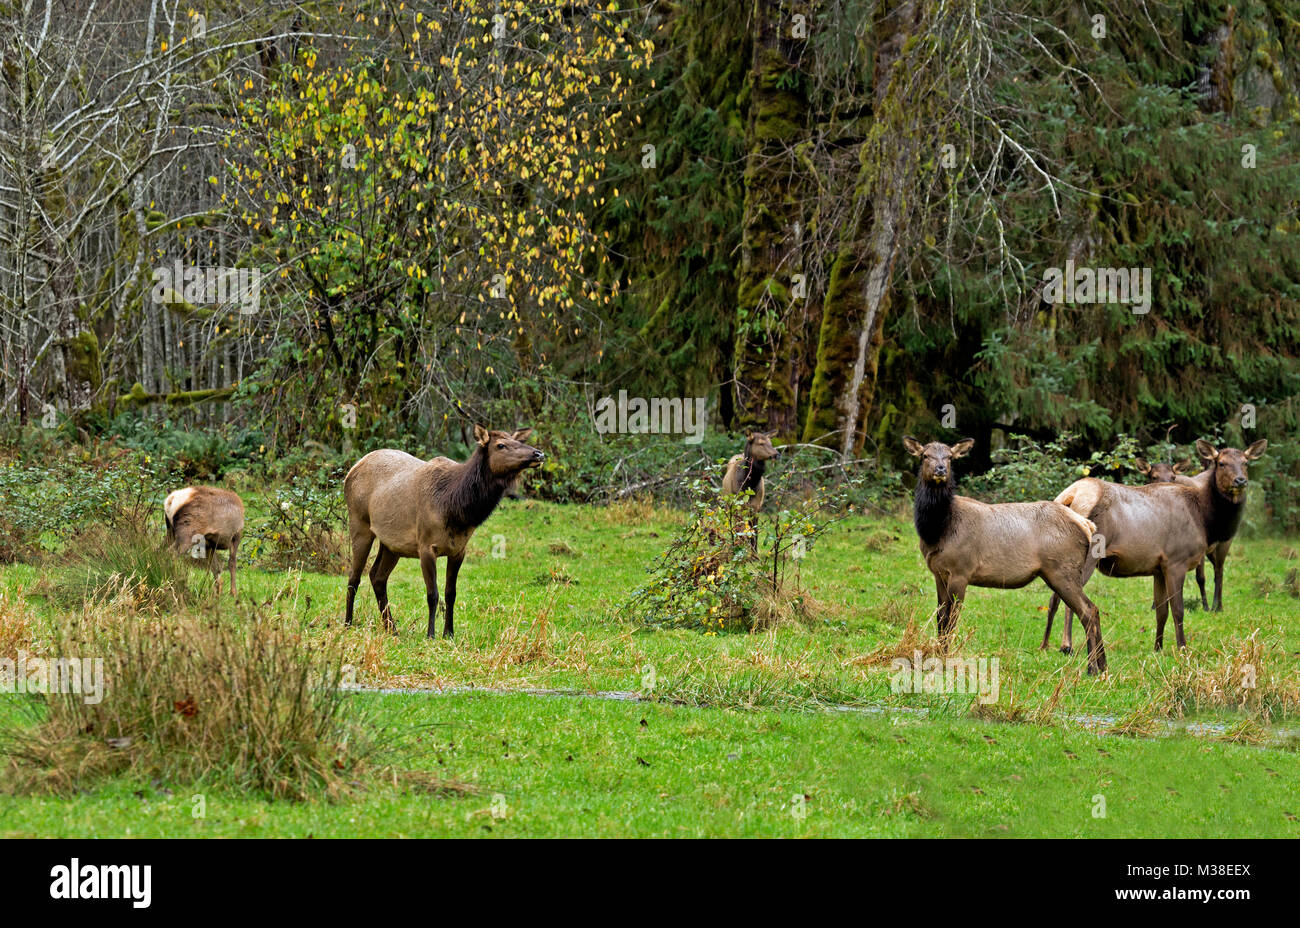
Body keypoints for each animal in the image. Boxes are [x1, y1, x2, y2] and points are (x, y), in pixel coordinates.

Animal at [343, 426, 543, 638]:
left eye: (519, 441)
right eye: (501, 445)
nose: (538, 453)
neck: (455, 509)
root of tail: (352, 470)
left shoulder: (458, 550)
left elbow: (450, 593)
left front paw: (449, 633)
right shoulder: (425, 546)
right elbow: (433, 594)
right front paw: (431, 634)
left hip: (392, 543)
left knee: (377, 576)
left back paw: (391, 628)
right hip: (359, 523)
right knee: (354, 577)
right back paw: (348, 623)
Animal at [903, 437, 1107, 674]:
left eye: (950, 457)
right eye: (925, 455)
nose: (940, 469)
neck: (937, 531)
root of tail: (1087, 525)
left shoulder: (961, 570)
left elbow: (951, 619)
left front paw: (945, 659)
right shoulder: (939, 574)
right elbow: (940, 617)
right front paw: (938, 654)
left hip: (1064, 570)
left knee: (1088, 610)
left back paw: (1093, 668)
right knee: (1092, 609)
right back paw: (1102, 666)